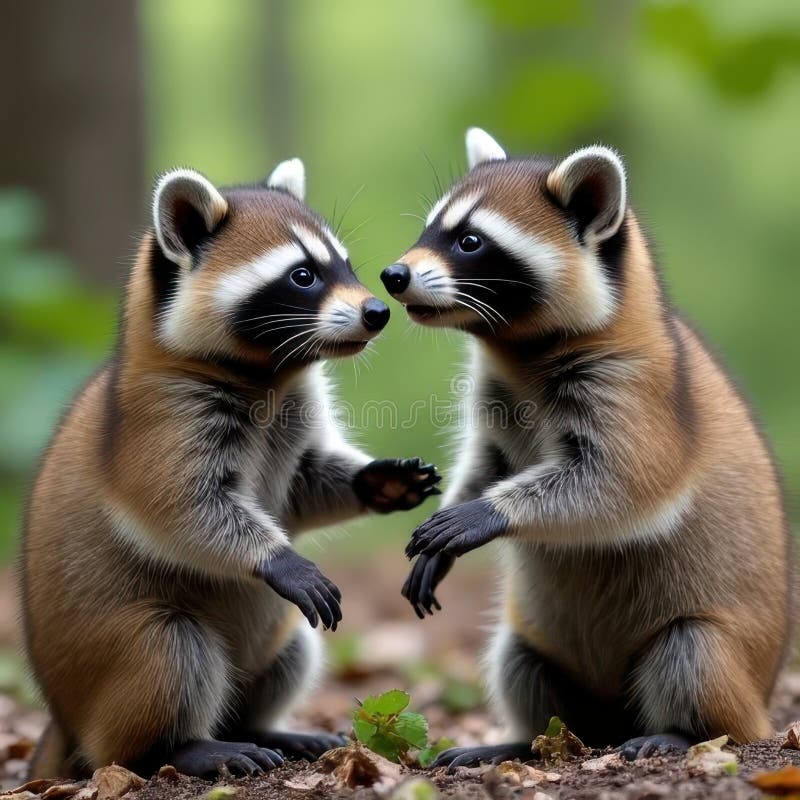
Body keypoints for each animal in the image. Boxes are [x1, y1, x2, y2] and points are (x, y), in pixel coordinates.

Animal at [21, 158, 440, 779]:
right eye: (302, 276)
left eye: (344, 265)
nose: (379, 311)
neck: (272, 373)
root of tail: (62, 718)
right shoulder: (156, 422)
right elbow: (180, 507)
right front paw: (276, 556)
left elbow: (301, 489)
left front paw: (374, 480)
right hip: (114, 661)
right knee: (168, 651)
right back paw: (177, 747)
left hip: (272, 643)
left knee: (292, 649)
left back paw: (259, 726)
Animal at [383, 128, 790, 767]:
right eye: (430, 230)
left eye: (471, 241)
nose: (392, 275)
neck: (513, 348)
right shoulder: (496, 396)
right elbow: (488, 462)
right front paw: (462, 503)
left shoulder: (639, 392)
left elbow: (624, 485)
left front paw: (488, 510)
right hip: (547, 658)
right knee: (516, 659)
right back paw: (524, 739)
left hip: (721, 659)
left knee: (692, 653)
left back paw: (684, 731)